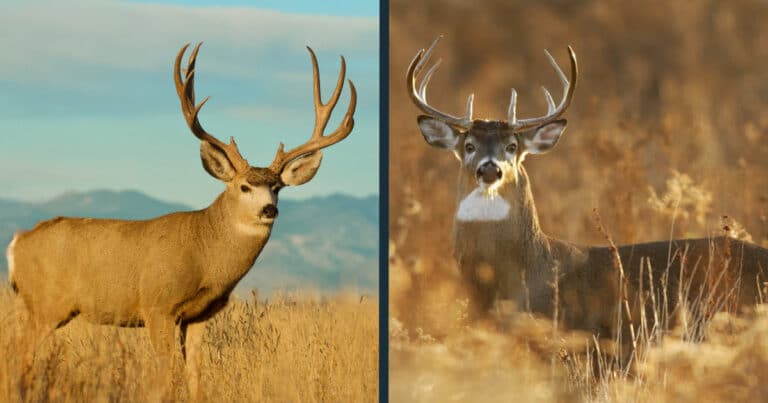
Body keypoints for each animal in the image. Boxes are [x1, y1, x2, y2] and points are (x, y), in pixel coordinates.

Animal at [6, 42, 356, 400]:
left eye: (277, 187)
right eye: (244, 186)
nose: (269, 210)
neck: (204, 252)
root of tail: (17, 243)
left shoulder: (199, 315)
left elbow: (196, 376)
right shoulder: (157, 305)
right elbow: (164, 375)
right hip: (46, 303)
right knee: (19, 354)